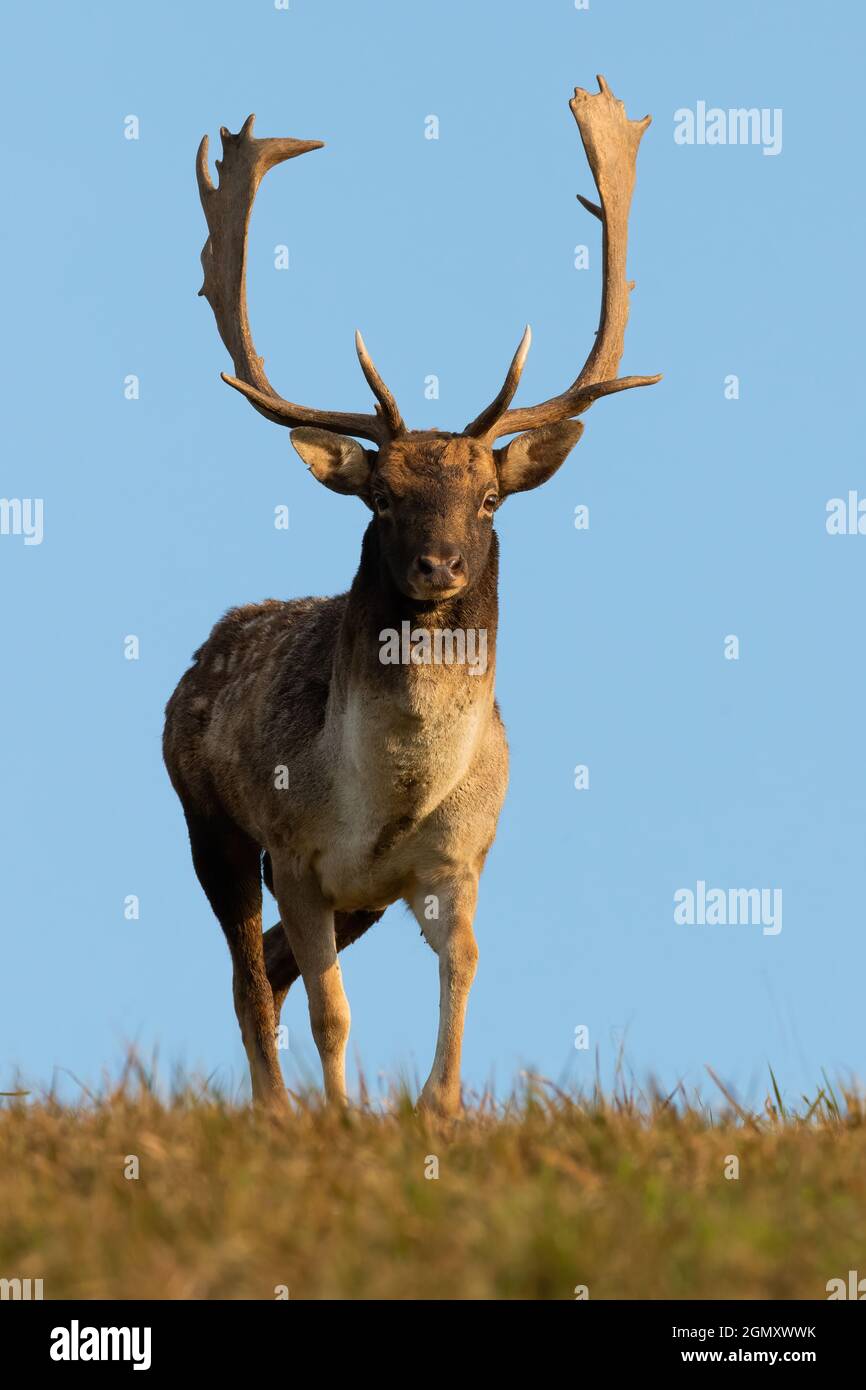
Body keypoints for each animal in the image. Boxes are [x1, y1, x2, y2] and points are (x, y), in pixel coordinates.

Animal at [163, 77, 660, 1115]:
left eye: (489, 497)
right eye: (383, 496)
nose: (439, 568)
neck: (387, 799)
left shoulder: (455, 861)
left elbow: (463, 964)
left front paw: (441, 1105)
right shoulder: (298, 855)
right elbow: (331, 1010)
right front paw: (340, 1116)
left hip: (358, 898)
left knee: (268, 969)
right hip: (209, 824)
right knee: (248, 973)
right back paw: (274, 1109)